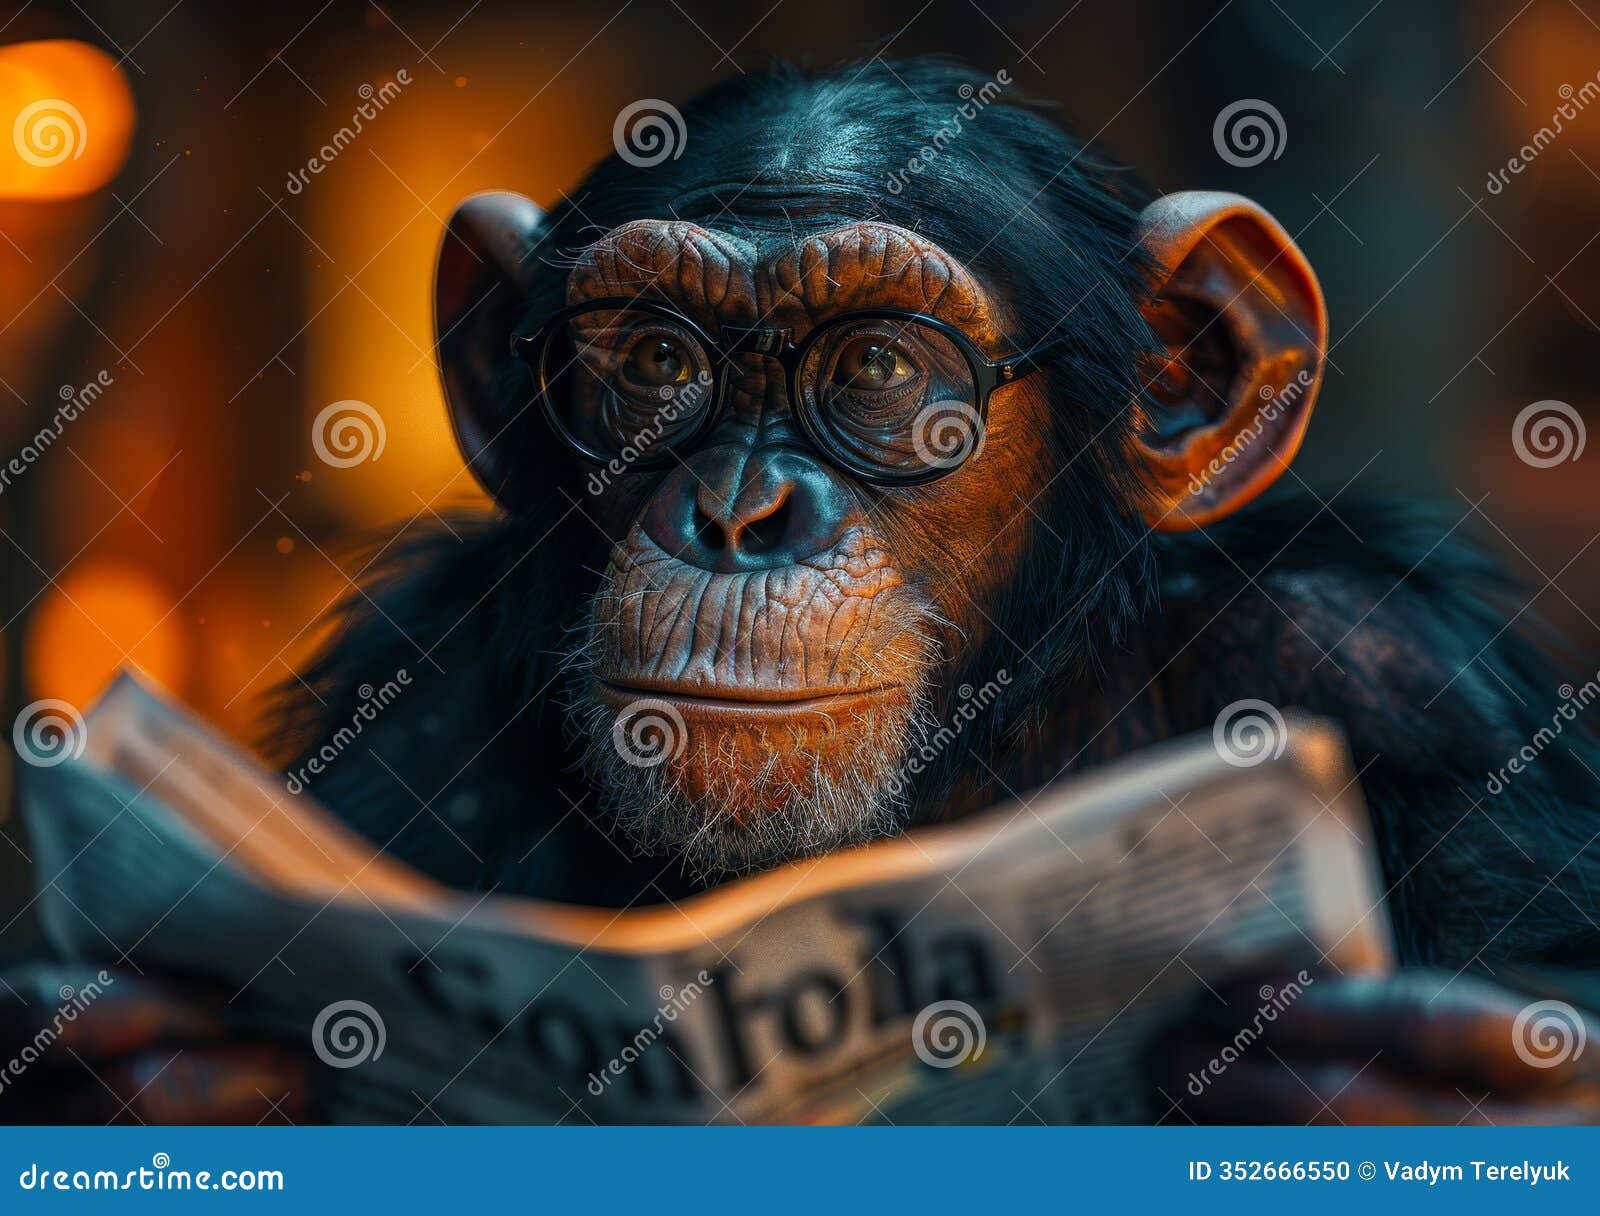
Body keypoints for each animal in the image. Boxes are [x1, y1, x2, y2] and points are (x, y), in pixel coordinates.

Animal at [5, 57, 1598, 1124]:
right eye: (656, 357)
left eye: (878, 365)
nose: (738, 512)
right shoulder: (425, 700)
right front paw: (177, 1071)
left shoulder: (1390, 678)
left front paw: (1402, 1088)